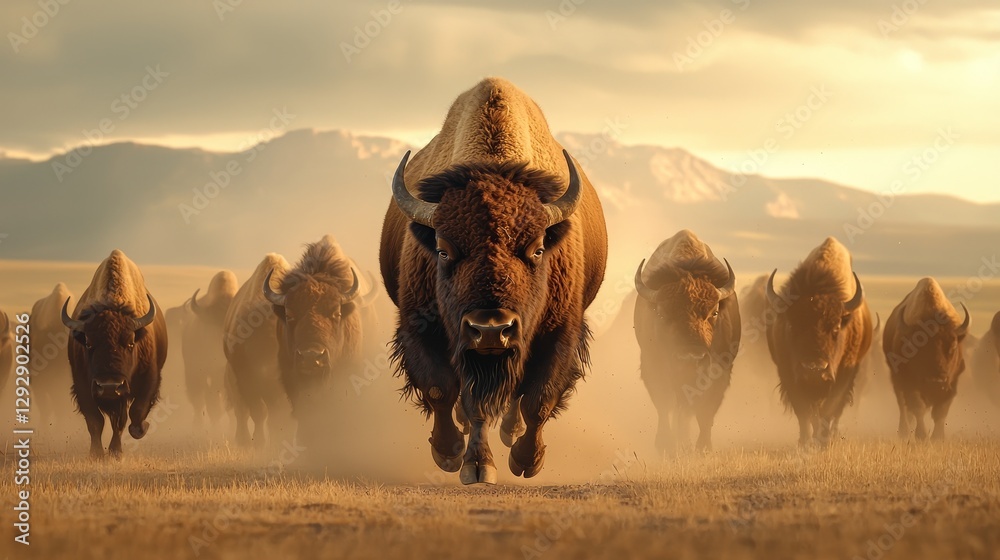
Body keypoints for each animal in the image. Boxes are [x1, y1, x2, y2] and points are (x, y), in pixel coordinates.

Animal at [61, 250, 167, 458]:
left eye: (131, 342)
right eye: (88, 343)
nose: (109, 387)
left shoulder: (148, 379)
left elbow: (134, 414)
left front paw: (139, 431)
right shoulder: (82, 384)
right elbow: (95, 421)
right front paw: (96, 454)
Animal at [379, 77, 608, 484]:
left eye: (537, 249)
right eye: (442, 249)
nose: (490, 329)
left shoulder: (560, 332)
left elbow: (539, 398)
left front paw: (526, 461)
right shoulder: (422, 329)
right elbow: (445, 391)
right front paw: (458, 458)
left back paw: (511, 433)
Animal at [633, 230, 739, 454]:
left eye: (714, 312)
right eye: (662, 314)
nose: (691, 357)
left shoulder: (721, 371)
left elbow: (705, 410)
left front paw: (703, 447)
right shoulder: (652, 366)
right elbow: (664, 404)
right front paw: (665, 446)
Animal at [766, 237, 872, 447]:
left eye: (836, 328)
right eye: (792, 326)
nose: (814, 370)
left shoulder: (843, 375)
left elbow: (829, 409)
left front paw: (823, 442)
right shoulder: (787, 373)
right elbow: (803, 412)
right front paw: (805, 443)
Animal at [884, 277, 969, 439]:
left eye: (954, 346)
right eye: (917, 347)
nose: (936, 381)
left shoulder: (952, 383)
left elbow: (940, 412)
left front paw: (938, 438)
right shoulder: (909, 383)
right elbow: (918, 408)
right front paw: (922, 436)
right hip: (896, 380)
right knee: (903, 406)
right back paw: (904, 432)